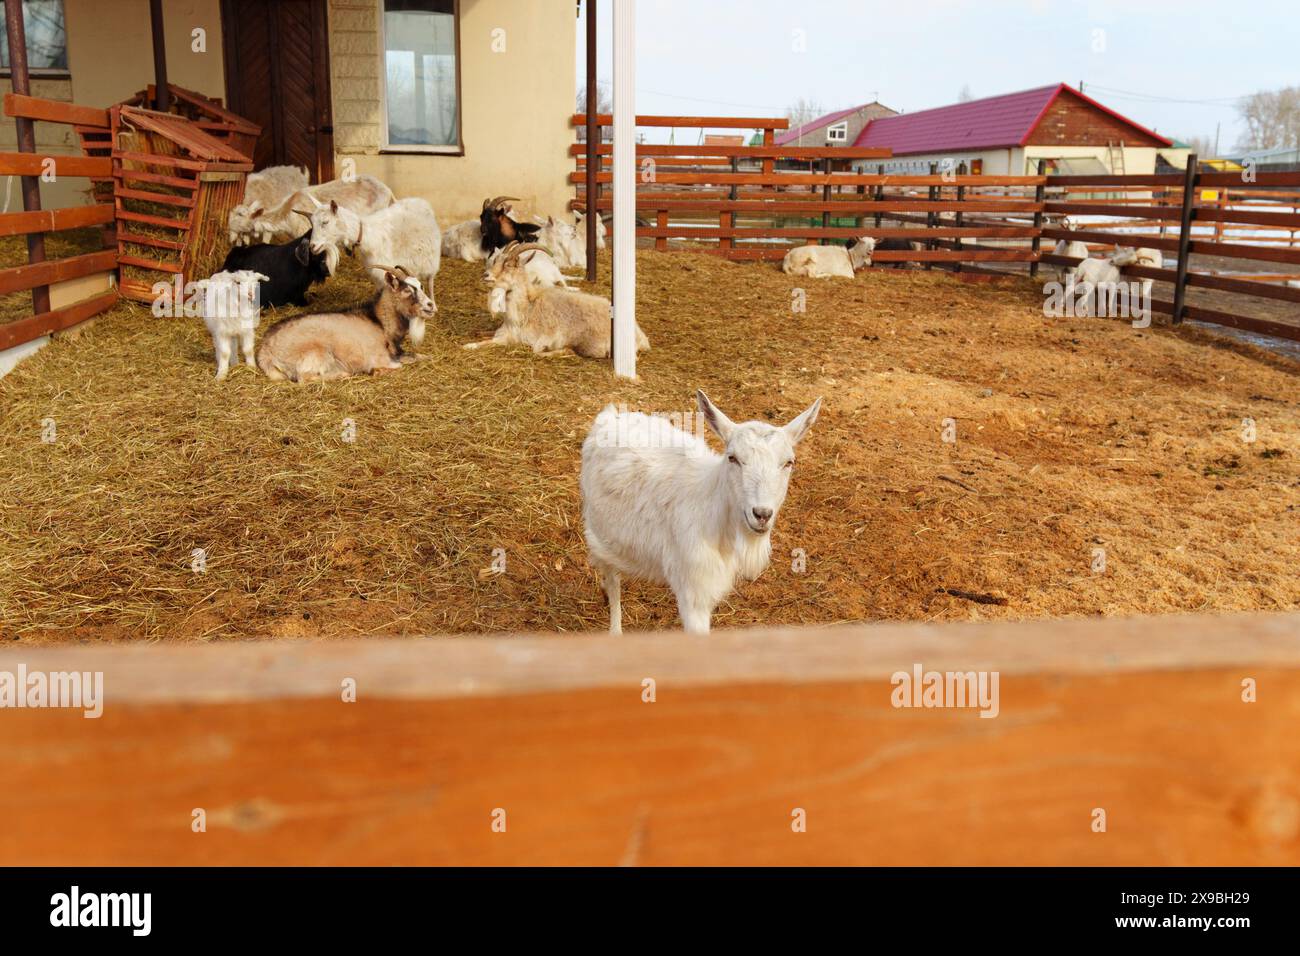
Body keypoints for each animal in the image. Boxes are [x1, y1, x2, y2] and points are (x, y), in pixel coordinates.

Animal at [255, 267, 434, 382]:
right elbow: (399, 366)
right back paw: (343, 375)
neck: (379, 322)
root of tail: (265, 351)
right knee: (304, 378)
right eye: (407, 290)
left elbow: (418, 356)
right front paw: (375, 371)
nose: (431, 305)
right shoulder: (380, 358)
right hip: (317, 353)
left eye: (421, 286)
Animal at [308, 196, 442, 329]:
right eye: (312, 223)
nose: (312, 247)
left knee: (430, 280)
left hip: (432, 257)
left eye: (325, 222)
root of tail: (419, 200)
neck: (368, 236)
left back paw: (433, 305)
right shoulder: (376, 273)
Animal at [466, 242, 647, 356]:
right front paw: (471, 342)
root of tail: (640, 337)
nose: (486, 275)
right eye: (496, 261)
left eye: (509, 265)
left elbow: (494, 342)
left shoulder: (522, 338)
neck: (527, 308)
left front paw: (468, 346)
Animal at [580, 390, 822, 634]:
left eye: (789, 462)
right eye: (732, 458)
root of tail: (609, 417)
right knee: (612, 577)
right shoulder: (694, 589)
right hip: (598, 529)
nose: (762, 514)